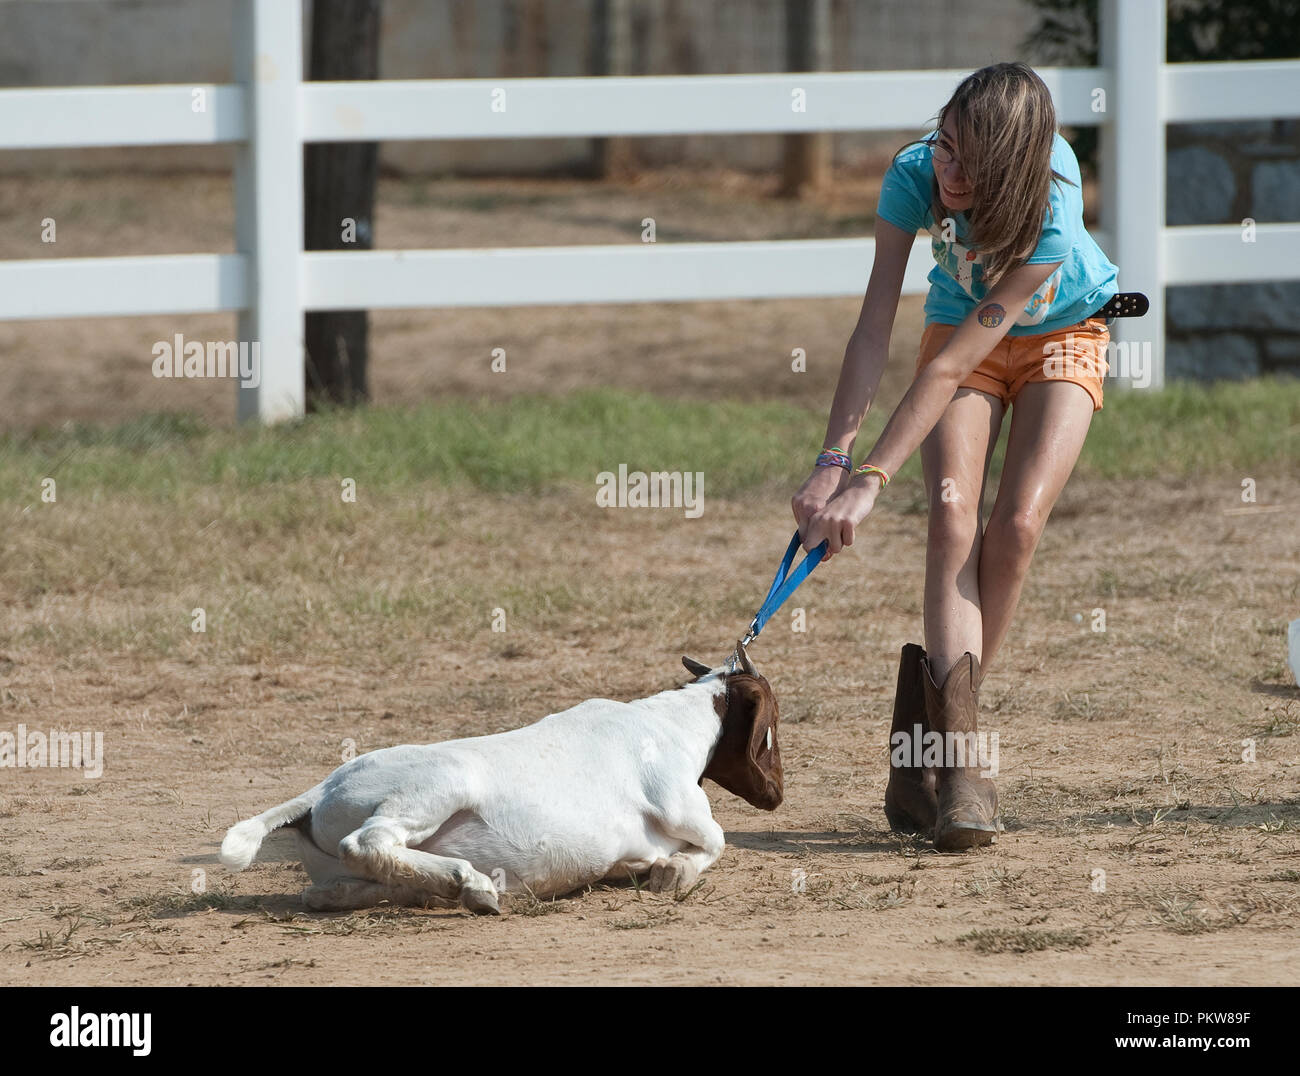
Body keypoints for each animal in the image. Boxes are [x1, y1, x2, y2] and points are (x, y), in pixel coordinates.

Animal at [219, 644, 782, 914]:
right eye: (773, 722)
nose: (776, 794)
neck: (671, 724)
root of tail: (318, 795)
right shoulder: (680, 806)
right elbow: (716, 841)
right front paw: (673, 873)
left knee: (328, 892)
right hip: (439, 786)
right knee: (367, 843)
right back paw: (467, 881)